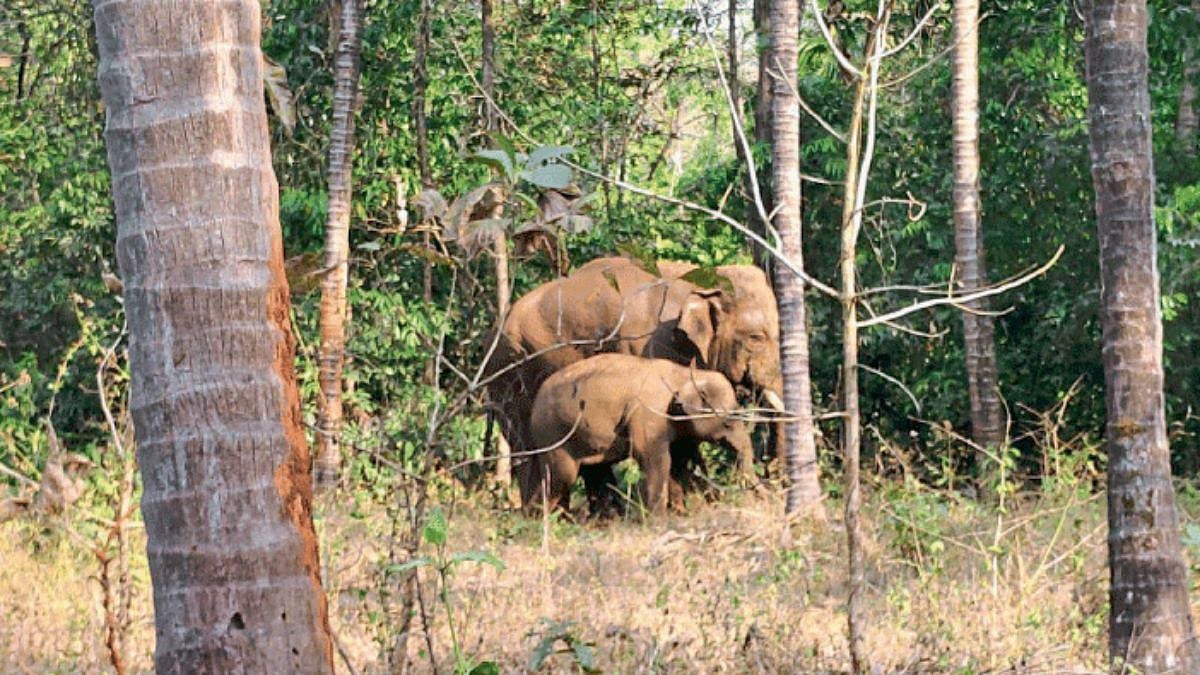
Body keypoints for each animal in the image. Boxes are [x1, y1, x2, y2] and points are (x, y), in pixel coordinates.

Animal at [523, 354, 754, 516]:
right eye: (728, 422)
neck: (682, 374)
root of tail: (533, 406)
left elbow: (677, 463)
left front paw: (680, 513)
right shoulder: (648, 413)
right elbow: (655, 459)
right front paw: (658, 520)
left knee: (591, 471)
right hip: (552, 434)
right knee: (560, 477)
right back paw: (535, 520)